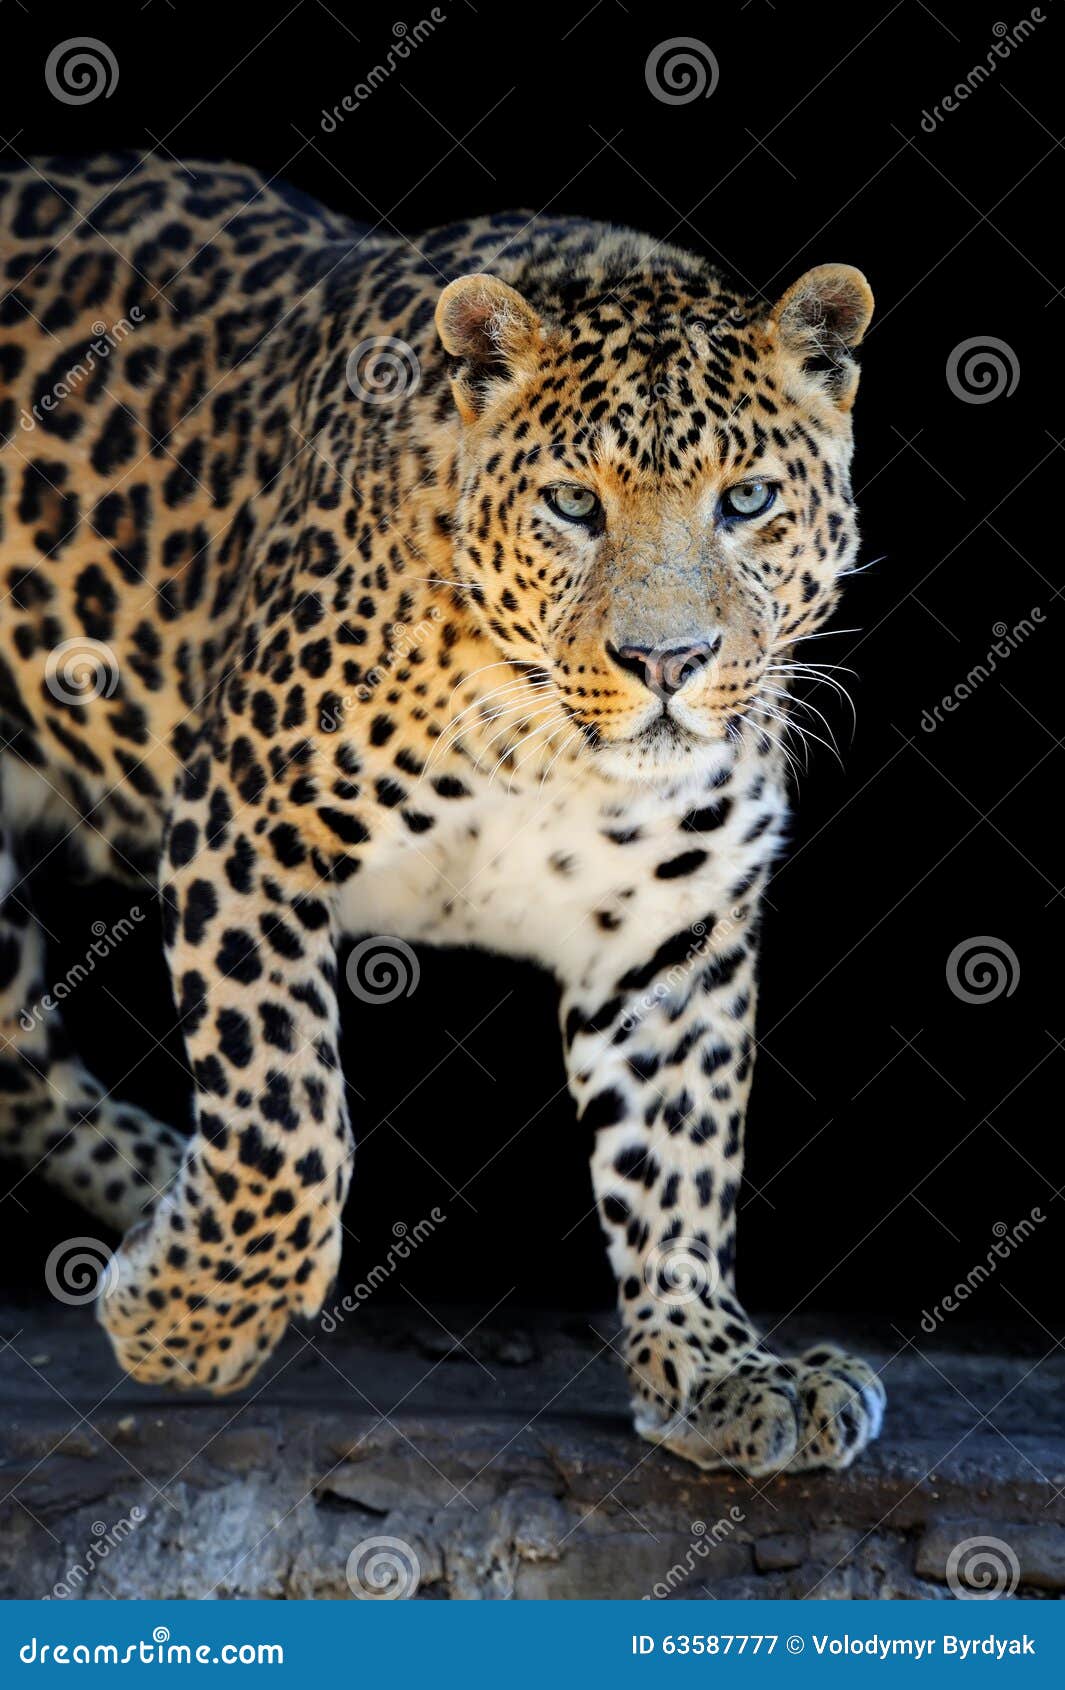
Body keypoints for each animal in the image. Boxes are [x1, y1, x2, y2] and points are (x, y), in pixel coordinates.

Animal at [0, 153, 884, 1478]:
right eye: (572, 503)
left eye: (749, 500)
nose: (667, 661)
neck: (550, 750)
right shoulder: (245, 819)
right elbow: (286, 1128)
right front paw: (187, 1326)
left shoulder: (673, 925)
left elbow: (681, 1154)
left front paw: (716, 1370)